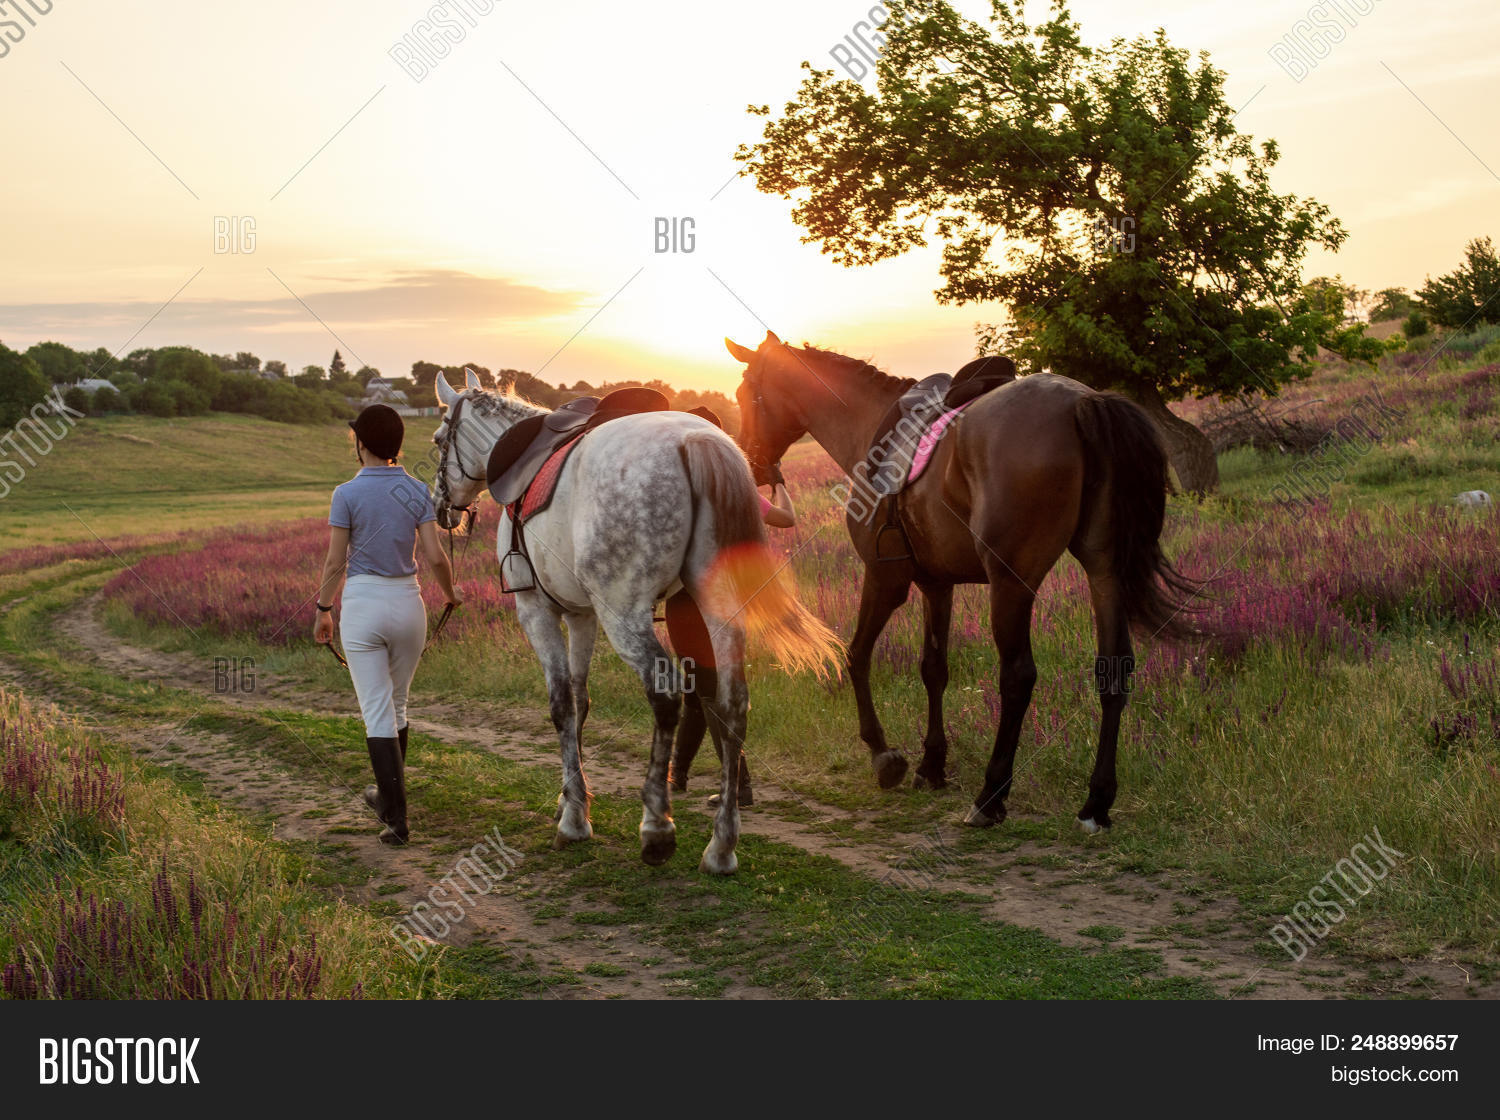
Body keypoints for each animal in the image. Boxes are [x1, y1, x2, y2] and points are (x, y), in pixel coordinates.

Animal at [430, 369, 842, 873]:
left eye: (438, 440)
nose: (440, 506)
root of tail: (697, 441)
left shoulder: (538, 610)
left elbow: (561, 705)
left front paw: (574, 819)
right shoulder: (581, 614)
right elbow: (581, 701)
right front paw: (571, 798)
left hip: (624, 615)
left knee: (666, 695)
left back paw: (657, 827)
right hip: (716, 609)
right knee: (732, 703)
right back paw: (722, 845)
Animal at [724, 333, 1196, 833]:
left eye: (745, 395)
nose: (751, 464)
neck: (868, 424)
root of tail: (1084, 401)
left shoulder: (885, 579)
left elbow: (856, 655)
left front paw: (884, 756)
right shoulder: (937, 585)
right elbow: (934, 669)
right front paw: (932, 764)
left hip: (1011, 584)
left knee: (1018, 676)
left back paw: (991, 796)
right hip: (1104, 572)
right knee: (1113, 670)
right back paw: (1096, 802)